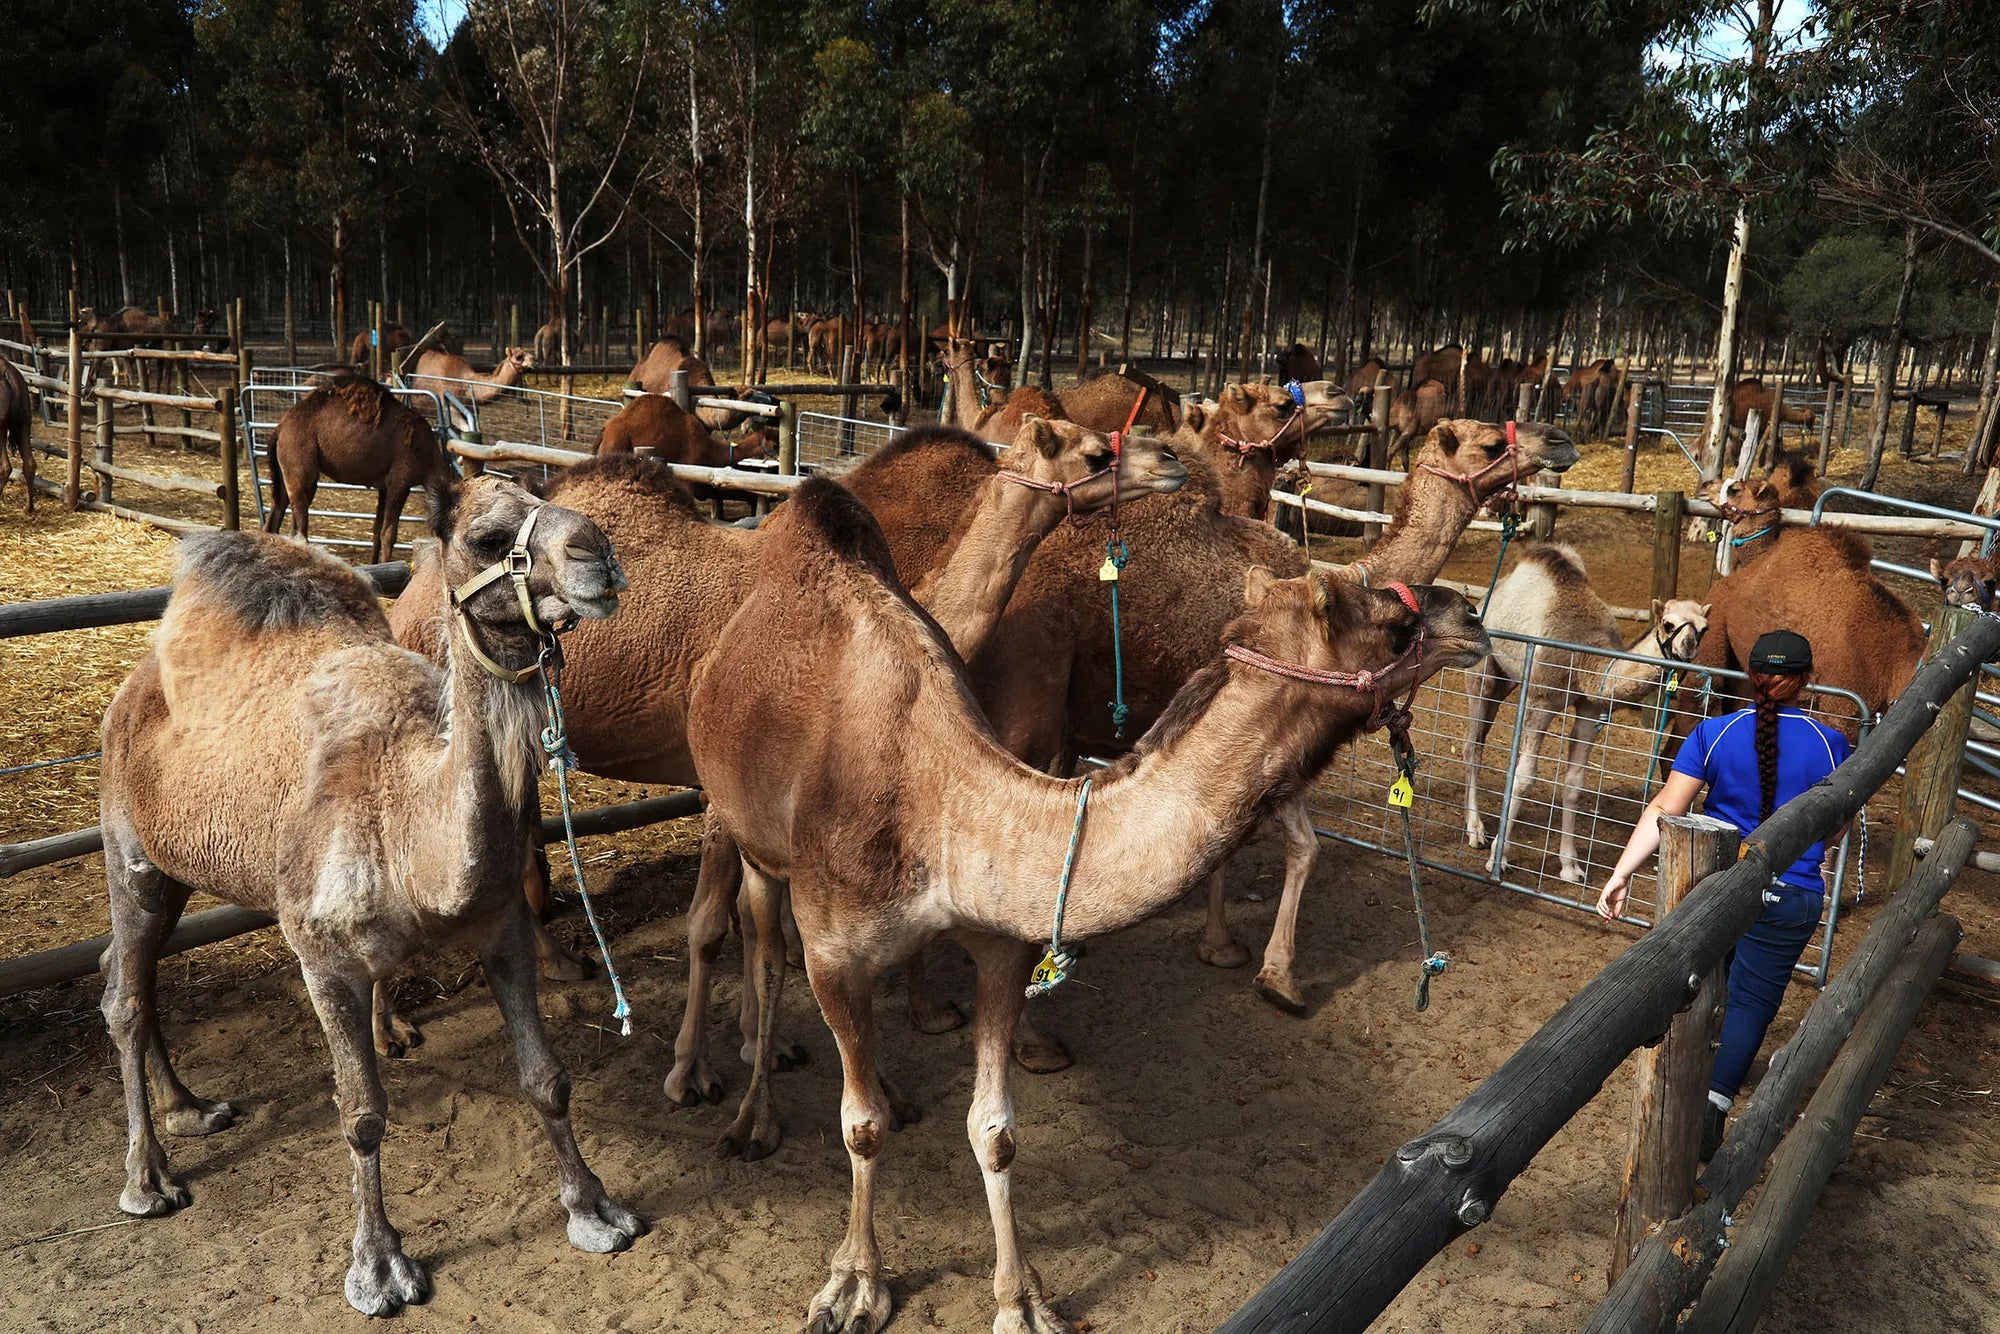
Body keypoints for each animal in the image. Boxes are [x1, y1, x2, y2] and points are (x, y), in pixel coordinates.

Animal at [97, 477, 640, 1316]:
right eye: (488, 537)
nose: (597, 554)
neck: (410, 818)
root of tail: (131, 690)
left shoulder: (502, 926)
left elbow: (546, 1077)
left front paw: (594, 1209)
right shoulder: (324, 958)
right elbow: (360, 1114)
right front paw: (380, 1267)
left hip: (176, 867)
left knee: (140, 978)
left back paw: (191, 1108)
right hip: (129, 852)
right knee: (123, 994)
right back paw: (148, 1179)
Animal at [263, 374, 455, 563]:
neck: (428, 456)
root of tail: (279, 429)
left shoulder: (384, 486)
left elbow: (377, 529)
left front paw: (375, 565)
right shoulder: (400, 482)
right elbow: (389, 534)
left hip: (285, 473)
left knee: (276, 515)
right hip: (300, 466)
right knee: (300, 523)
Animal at [684, 477, 1489, 1333]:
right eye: (1396, 623)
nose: (1473, 617)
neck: (938, 806)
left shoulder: (1001, 939)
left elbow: (994, 1130)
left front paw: (1023, 1299)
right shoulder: (837, 949)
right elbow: (858, 1127)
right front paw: (854, 1284)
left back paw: (890, 1091)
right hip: (752, 837)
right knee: (768, 951)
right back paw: (753, 1116)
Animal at [1463, 543, 1711, 883]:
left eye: (1704, 629)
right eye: (1668, 624)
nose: (1688, 647)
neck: (1586, 660)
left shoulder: (1590, 709)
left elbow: (1574, 783)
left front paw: (1571, 866)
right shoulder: (1543, 699)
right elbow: (1525, 778)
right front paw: (1498, 860)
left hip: (1508, 680)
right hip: (1483, 673)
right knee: (1472, 745)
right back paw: (1475, 830)